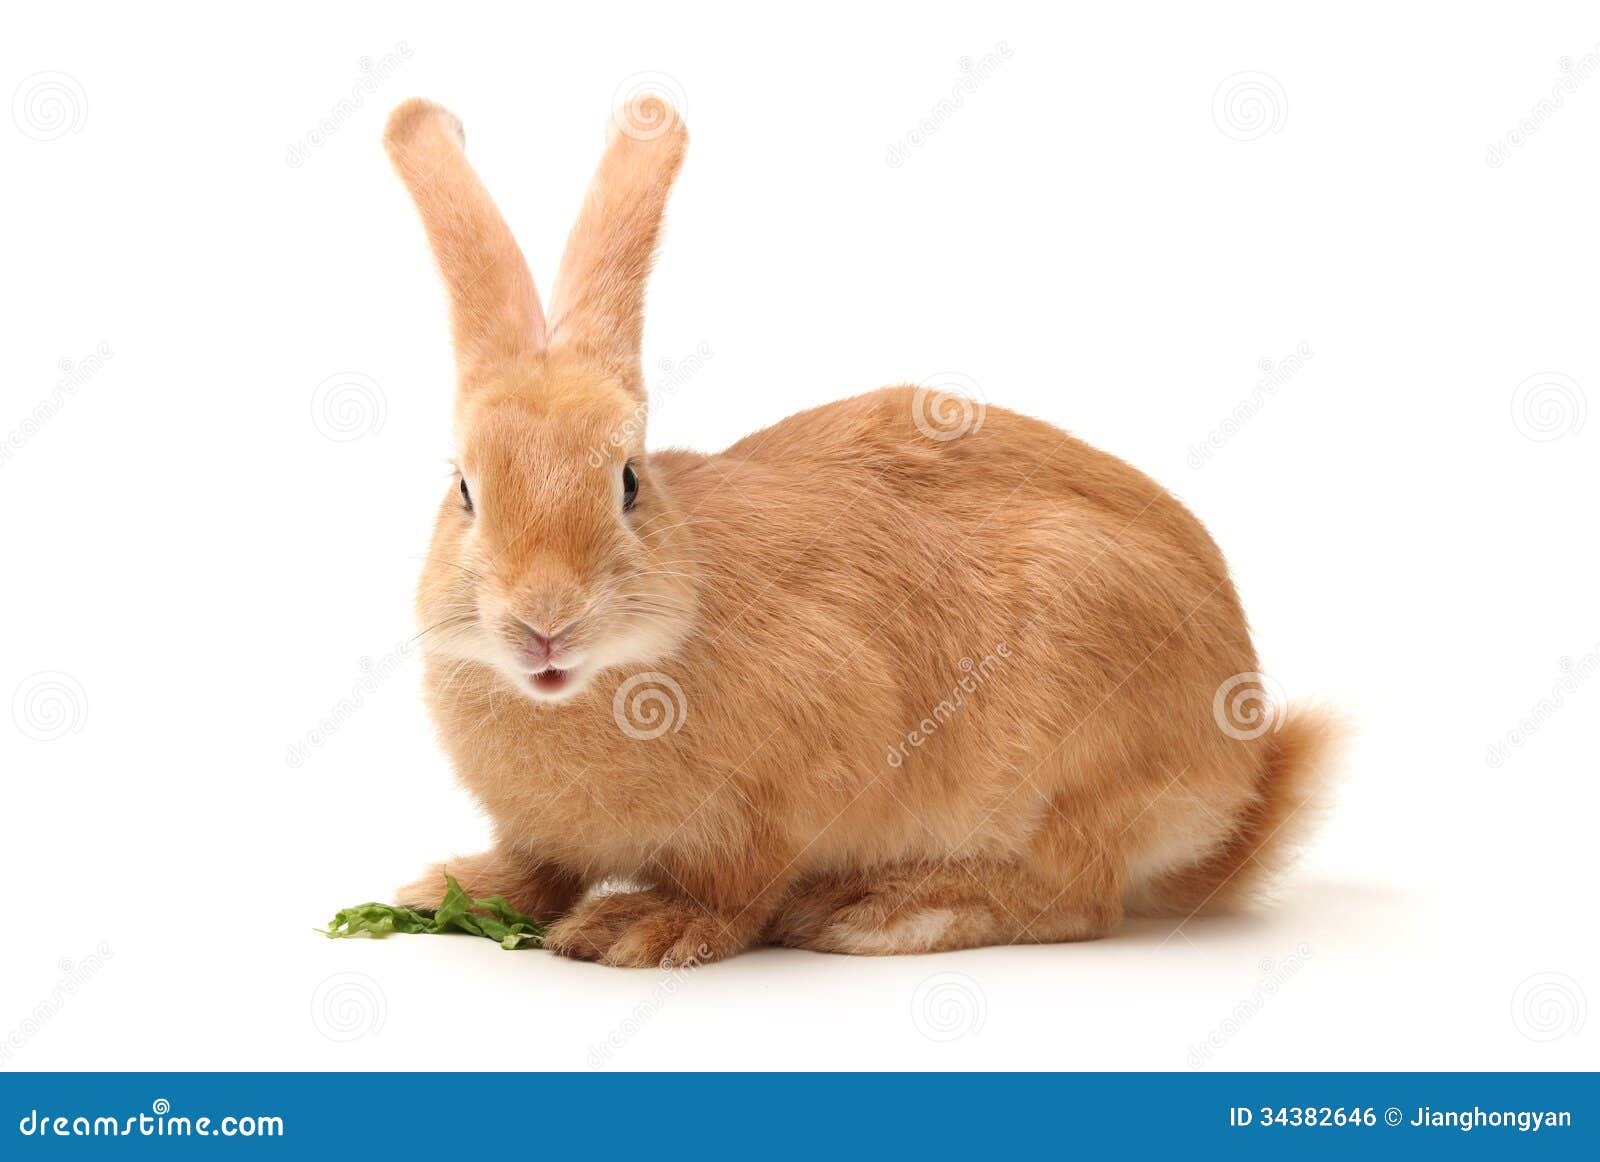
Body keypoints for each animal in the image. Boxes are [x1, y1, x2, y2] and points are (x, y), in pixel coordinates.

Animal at [382, 95, 1341, 967]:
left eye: (627, 483)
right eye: (466, 490)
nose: (546, 620)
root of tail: (1239, 778)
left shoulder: (795, 783)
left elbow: (735, 886)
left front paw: (644, 928)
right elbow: (538, 865)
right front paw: (447, 893)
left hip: (1075, 745)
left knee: (1076, 897)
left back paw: (883, 911)